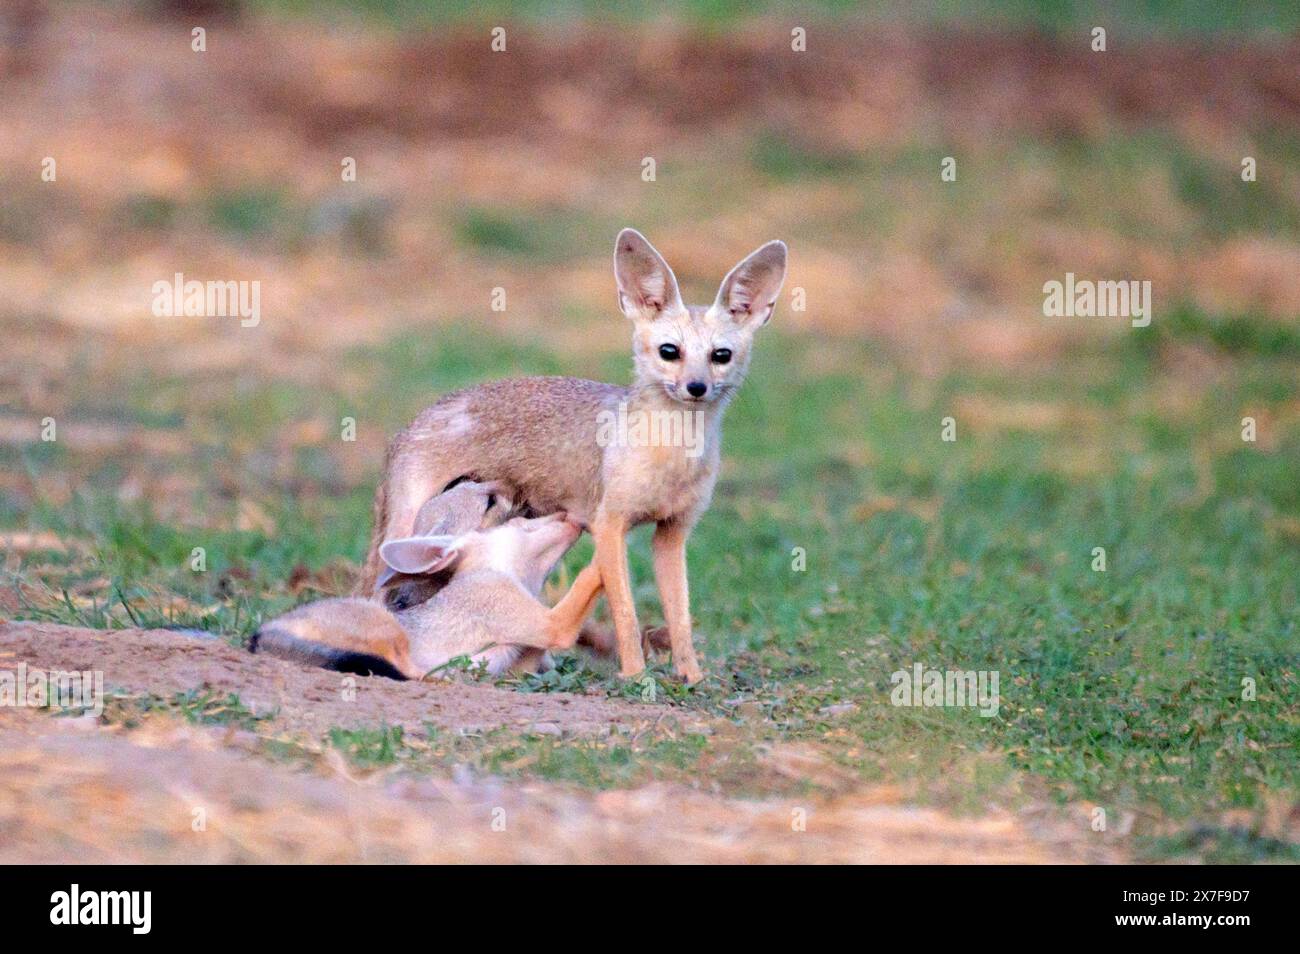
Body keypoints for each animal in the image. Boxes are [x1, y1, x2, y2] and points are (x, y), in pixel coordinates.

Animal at [357, 229, 788, 683]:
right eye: (670, 351)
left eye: (720, 356)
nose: (696, 387)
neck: (673, 456)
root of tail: (409, 426)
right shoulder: (610, 525)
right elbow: (625, 613)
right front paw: (635, 677)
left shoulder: (672, 532)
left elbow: (680, 616)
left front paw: (691, 677)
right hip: (405, 533)